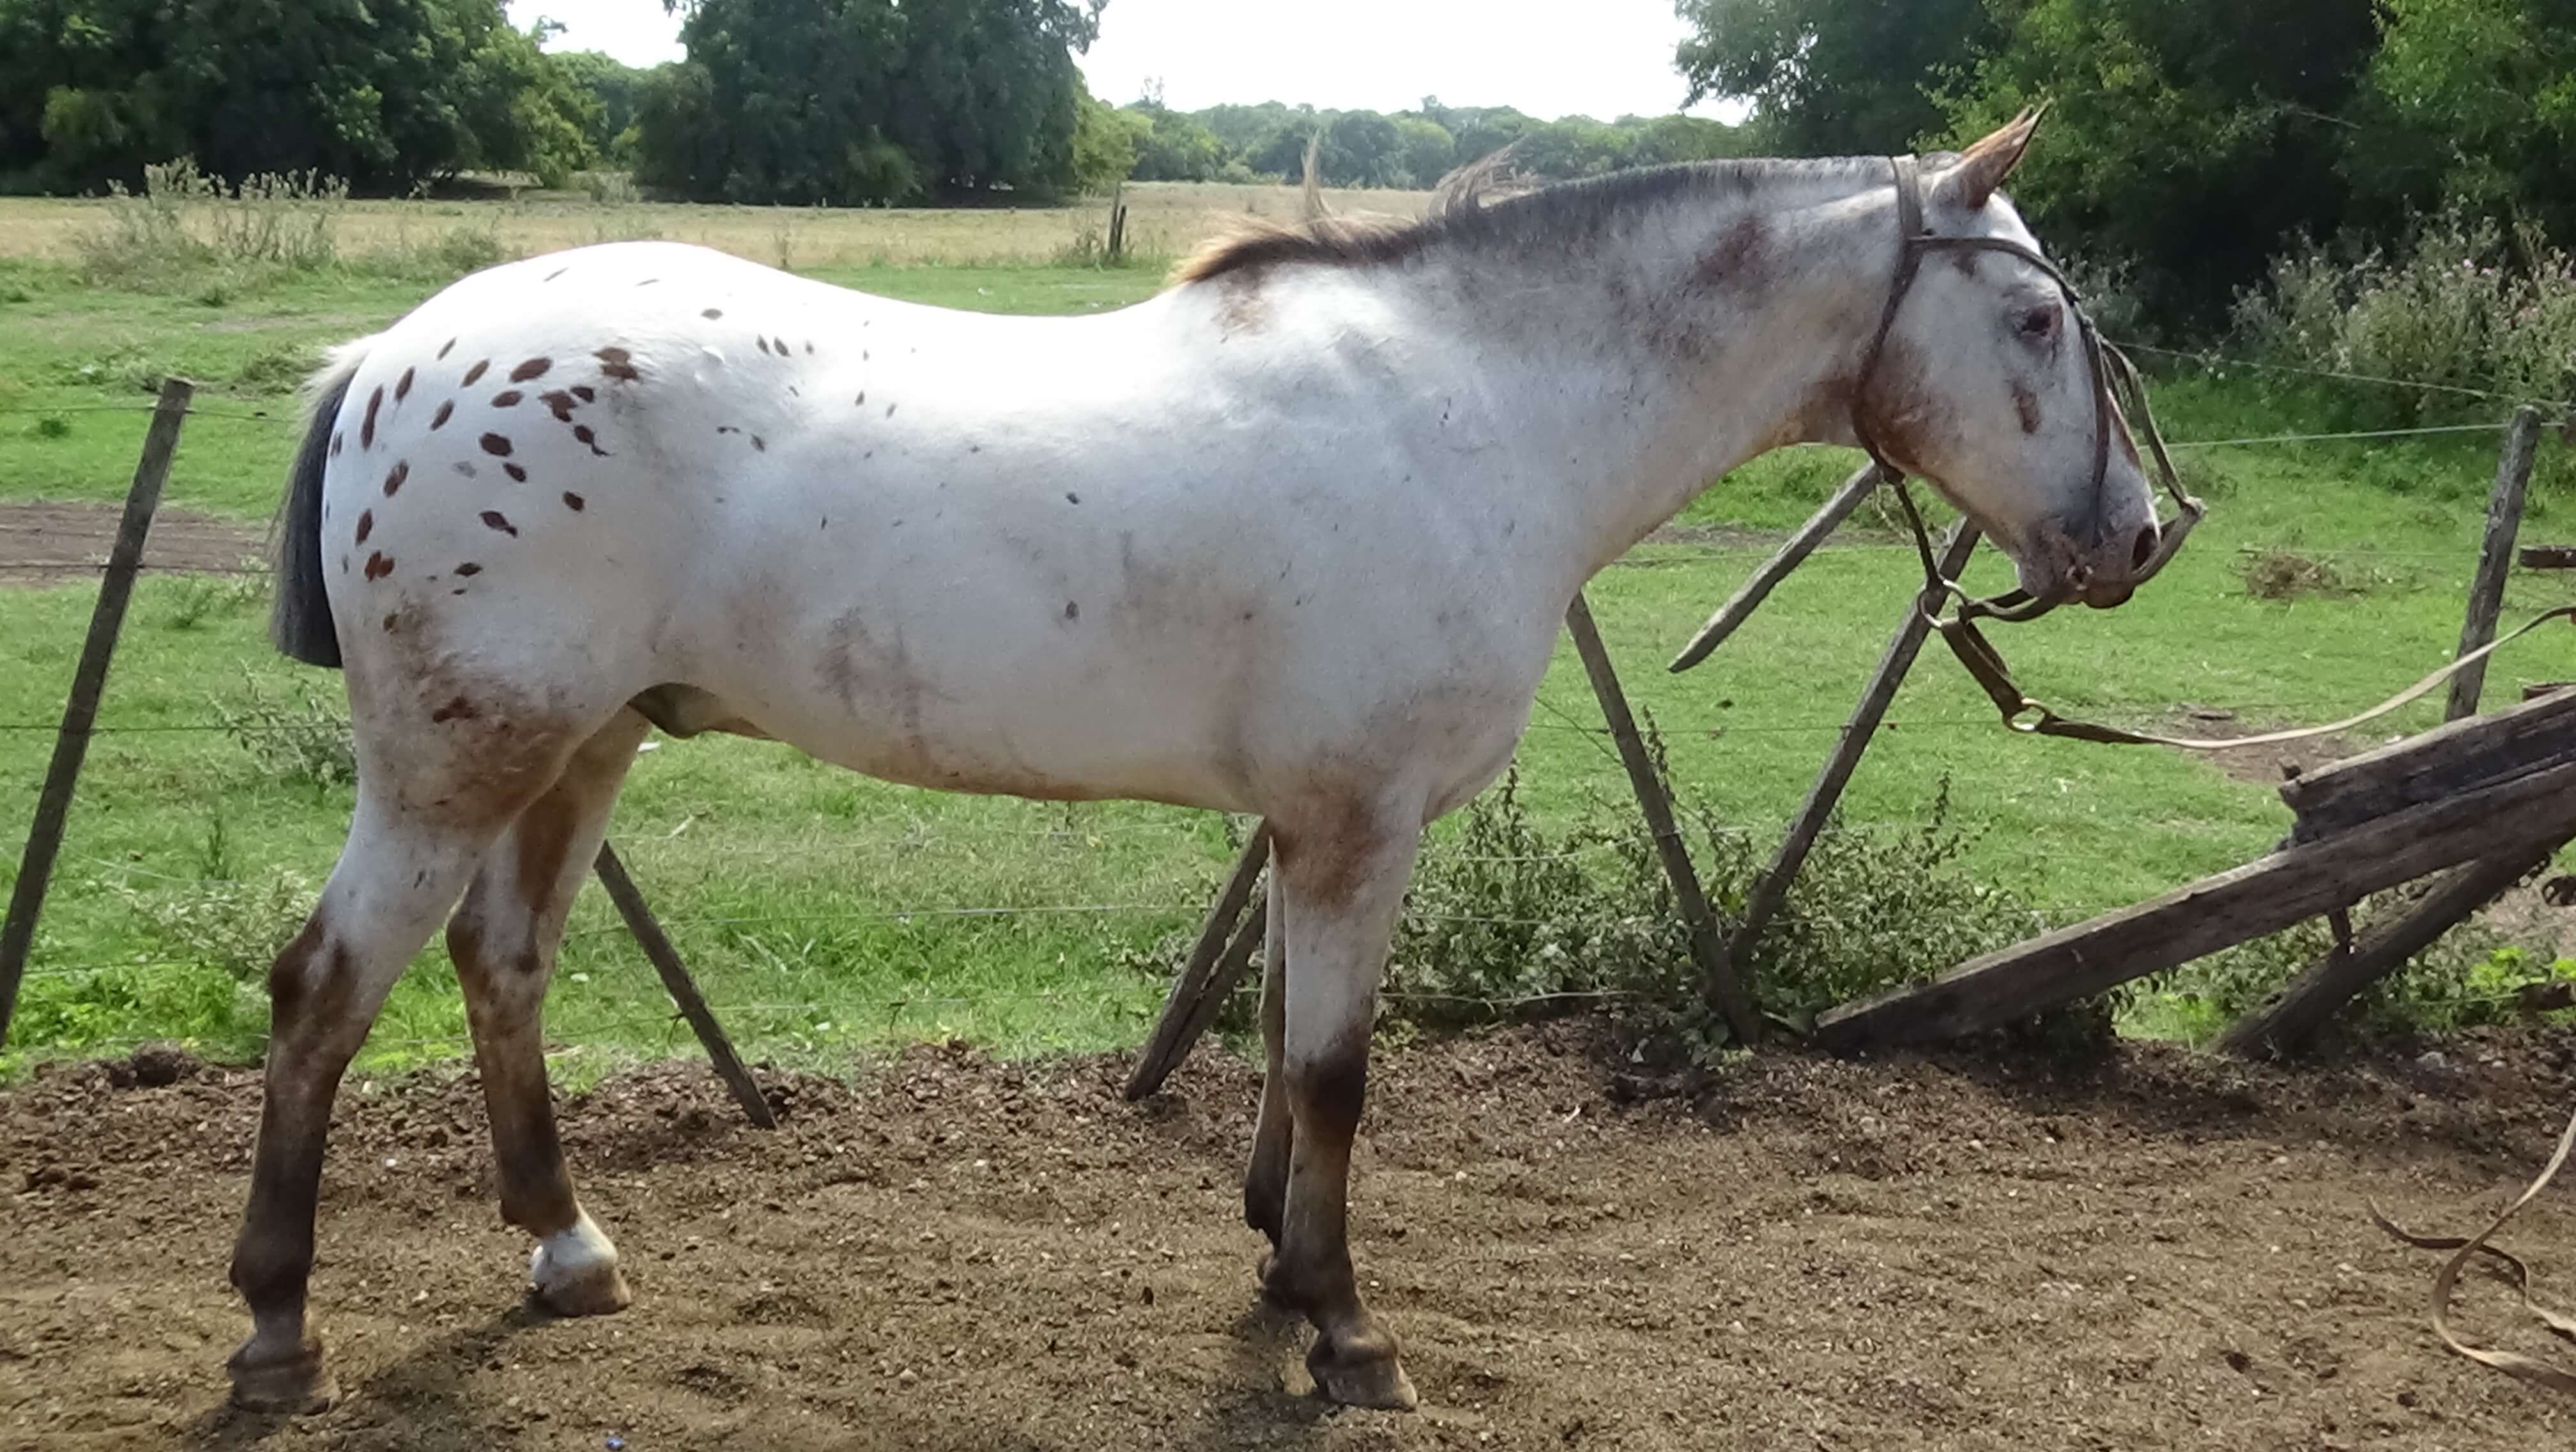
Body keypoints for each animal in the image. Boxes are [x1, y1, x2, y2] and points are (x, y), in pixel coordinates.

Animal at [227, 111, 2159, 1413]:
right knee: (323, 990)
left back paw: (567, 1250)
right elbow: (1337, 1072)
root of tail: (396, 351)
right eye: (2037, 325)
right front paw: (1350, 1330)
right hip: (454, 770)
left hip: (583, 748)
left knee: (502, 966)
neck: (1479, 409)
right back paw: (276, 1327)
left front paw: (1285, 1270)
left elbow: (1283, 1048)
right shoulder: (1362, 824)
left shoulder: (1313, 826)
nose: (2134, 535)